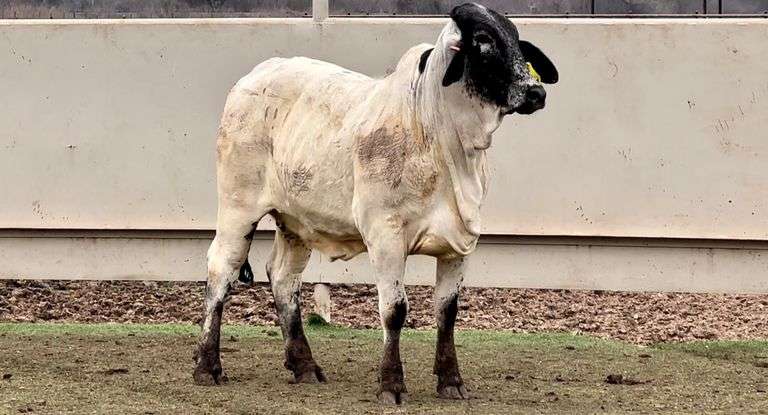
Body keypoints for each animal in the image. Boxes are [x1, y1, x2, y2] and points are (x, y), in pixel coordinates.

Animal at [193, 2, 558, 405]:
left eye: (515, 38)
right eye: (483, 40)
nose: (536, 93)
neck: (437, 134)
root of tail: (254, 76)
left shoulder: (458, 245)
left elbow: (447, 312)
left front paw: (451, 380)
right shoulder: (385, 236)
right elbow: (394, 309)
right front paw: (391, 383)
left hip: (295, 222)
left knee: (284, 278)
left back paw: (304, 365)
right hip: (237, 207)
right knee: (221, 270)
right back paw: (207, 366)